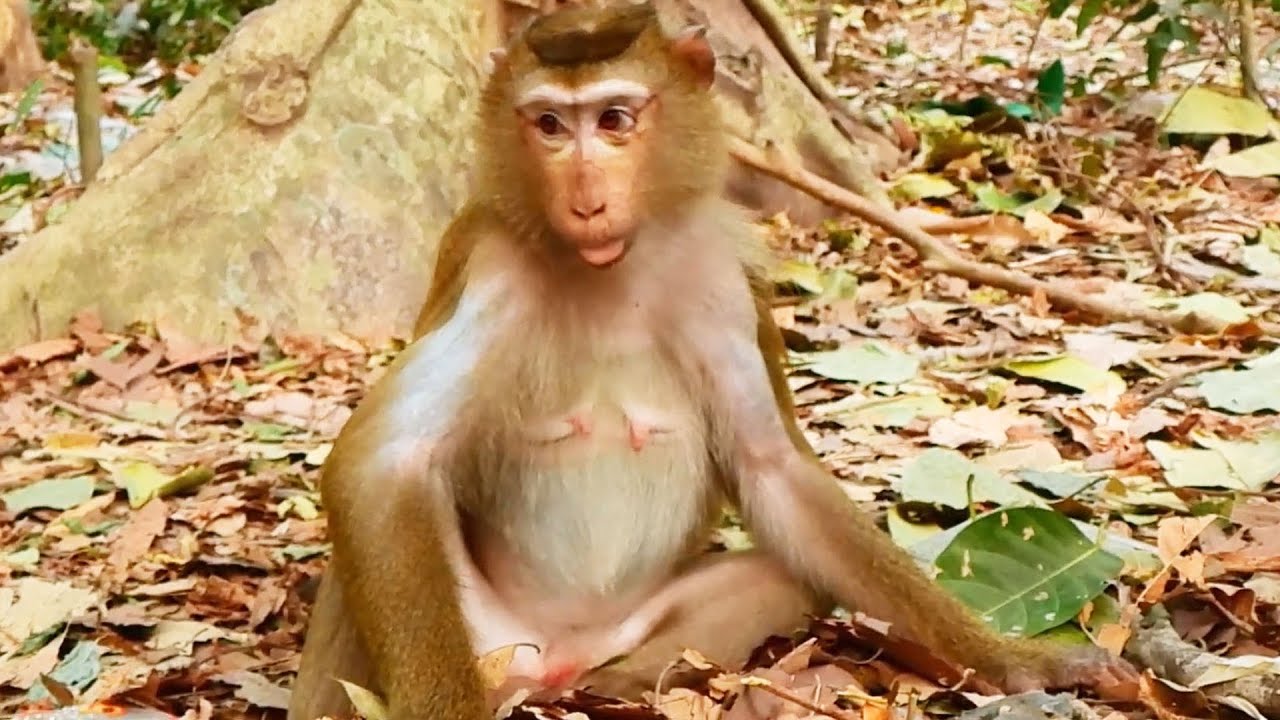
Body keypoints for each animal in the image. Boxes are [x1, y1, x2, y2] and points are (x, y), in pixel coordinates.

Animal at [288, 3, 1138, 719]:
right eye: (551, 125)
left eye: (616, 120)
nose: (586, 199)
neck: (608, 267)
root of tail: (555, 657)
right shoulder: (490, 264)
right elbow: (383, 465)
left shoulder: (718, 277)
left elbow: (775, 473)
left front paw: (1014, 661)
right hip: (488, 638)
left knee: (781, 575)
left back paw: (632, 686)